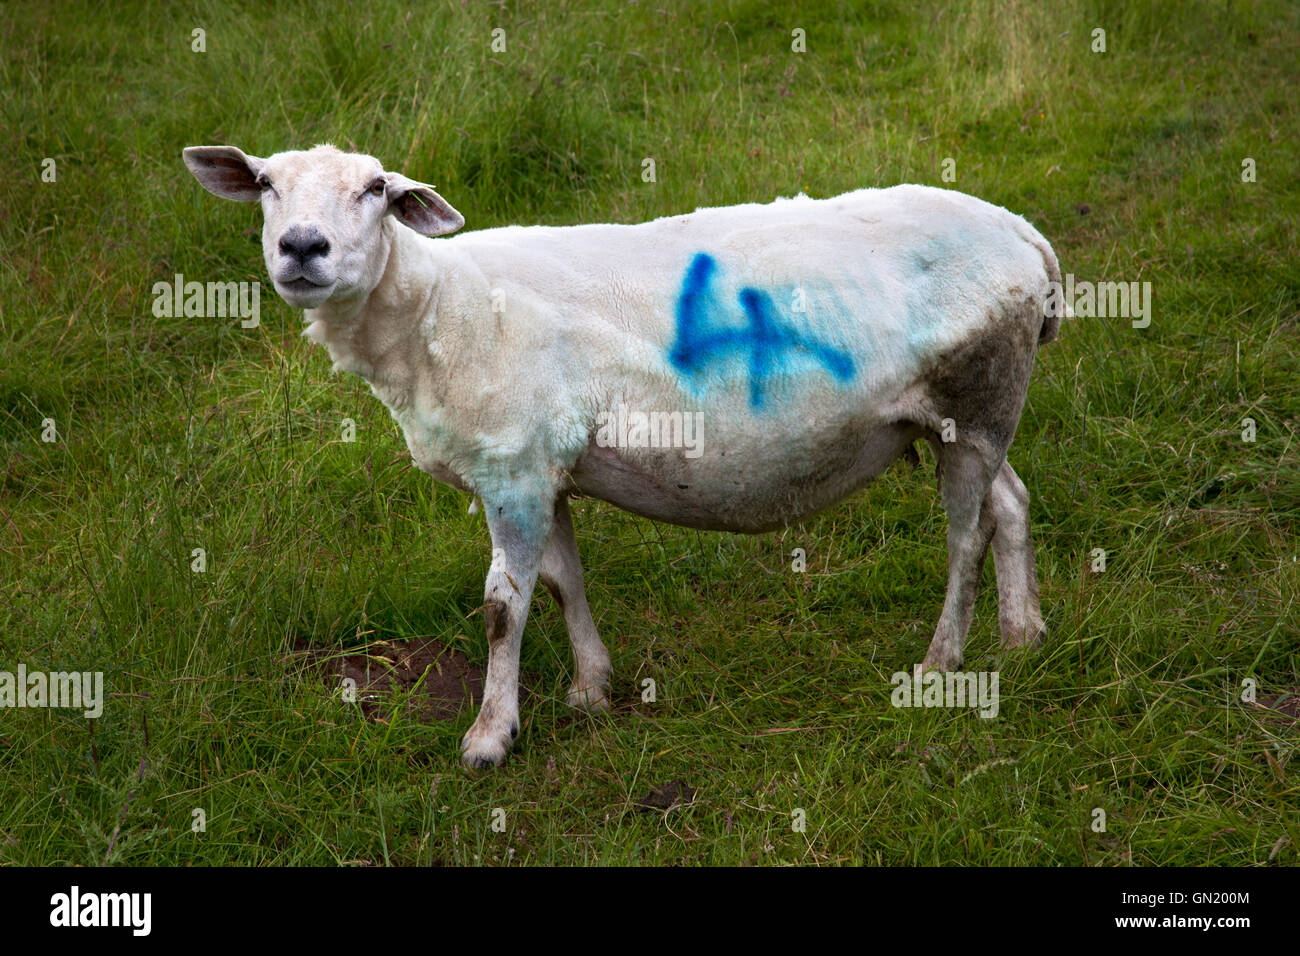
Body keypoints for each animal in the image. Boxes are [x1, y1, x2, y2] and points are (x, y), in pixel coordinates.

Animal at [184, 143, 1063, 768]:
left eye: (375, 190)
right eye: (265, 183)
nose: (302, 247)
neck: (437, 307)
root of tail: (1025, 236)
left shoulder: (512, 469)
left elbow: (503, 607)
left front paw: (489, 737)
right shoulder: (545, 471)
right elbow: (563, 583)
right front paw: (591, 688)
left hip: (977, 391)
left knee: (965, 537)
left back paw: (942, 662)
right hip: (966, 417)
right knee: (1011, 502)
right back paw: (1023, 635)